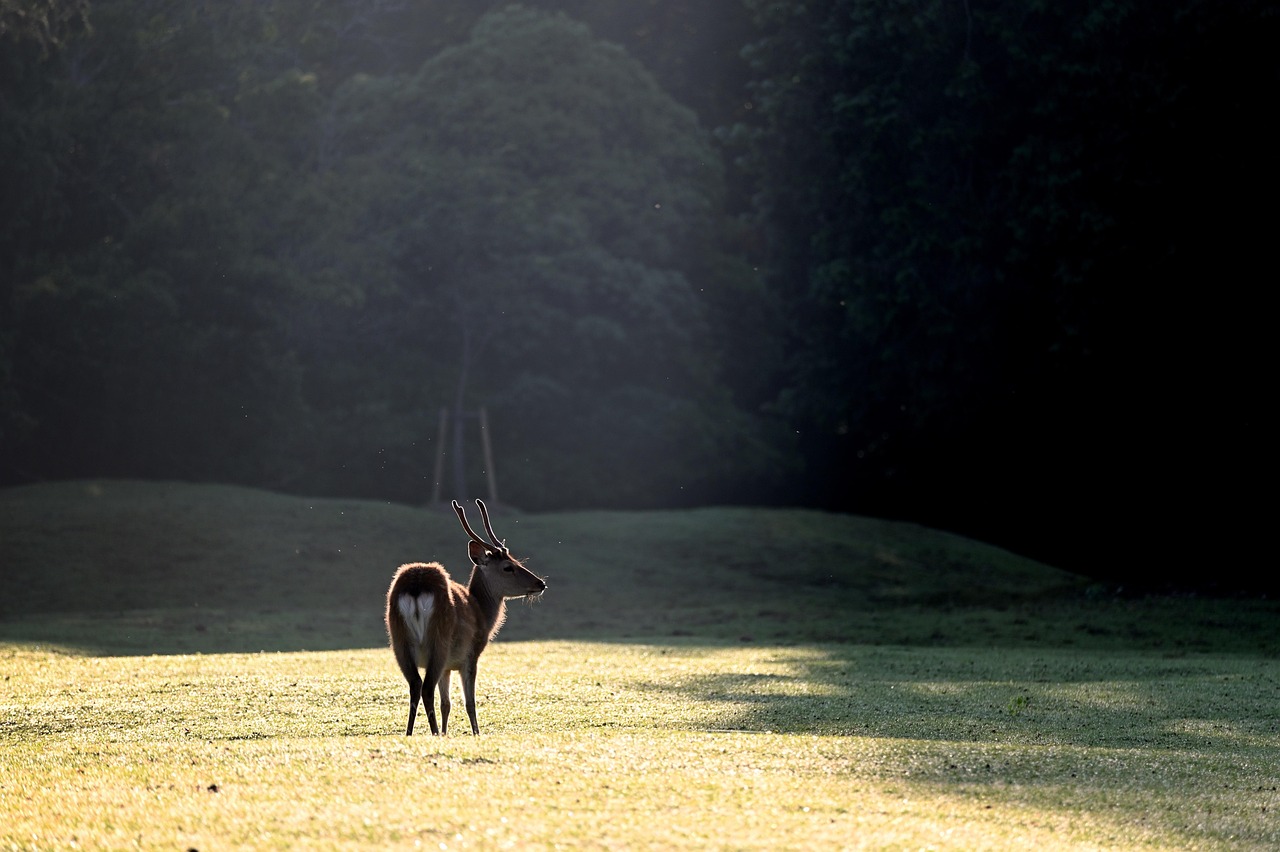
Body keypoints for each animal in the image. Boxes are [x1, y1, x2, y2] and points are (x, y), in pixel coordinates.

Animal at [385, 499, 547, 736]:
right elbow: (469, 702)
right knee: (426, 688)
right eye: (508, 567)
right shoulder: (470, 655)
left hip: (398, 640)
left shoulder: (447, 667)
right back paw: (433, 733)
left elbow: (446, 704)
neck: (482, 612)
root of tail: (416, 586)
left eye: (516, 560)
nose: (540, 583)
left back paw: (411, 733)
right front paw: (476, 733)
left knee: (415, 685)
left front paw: (446, 733)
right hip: (440, 640)